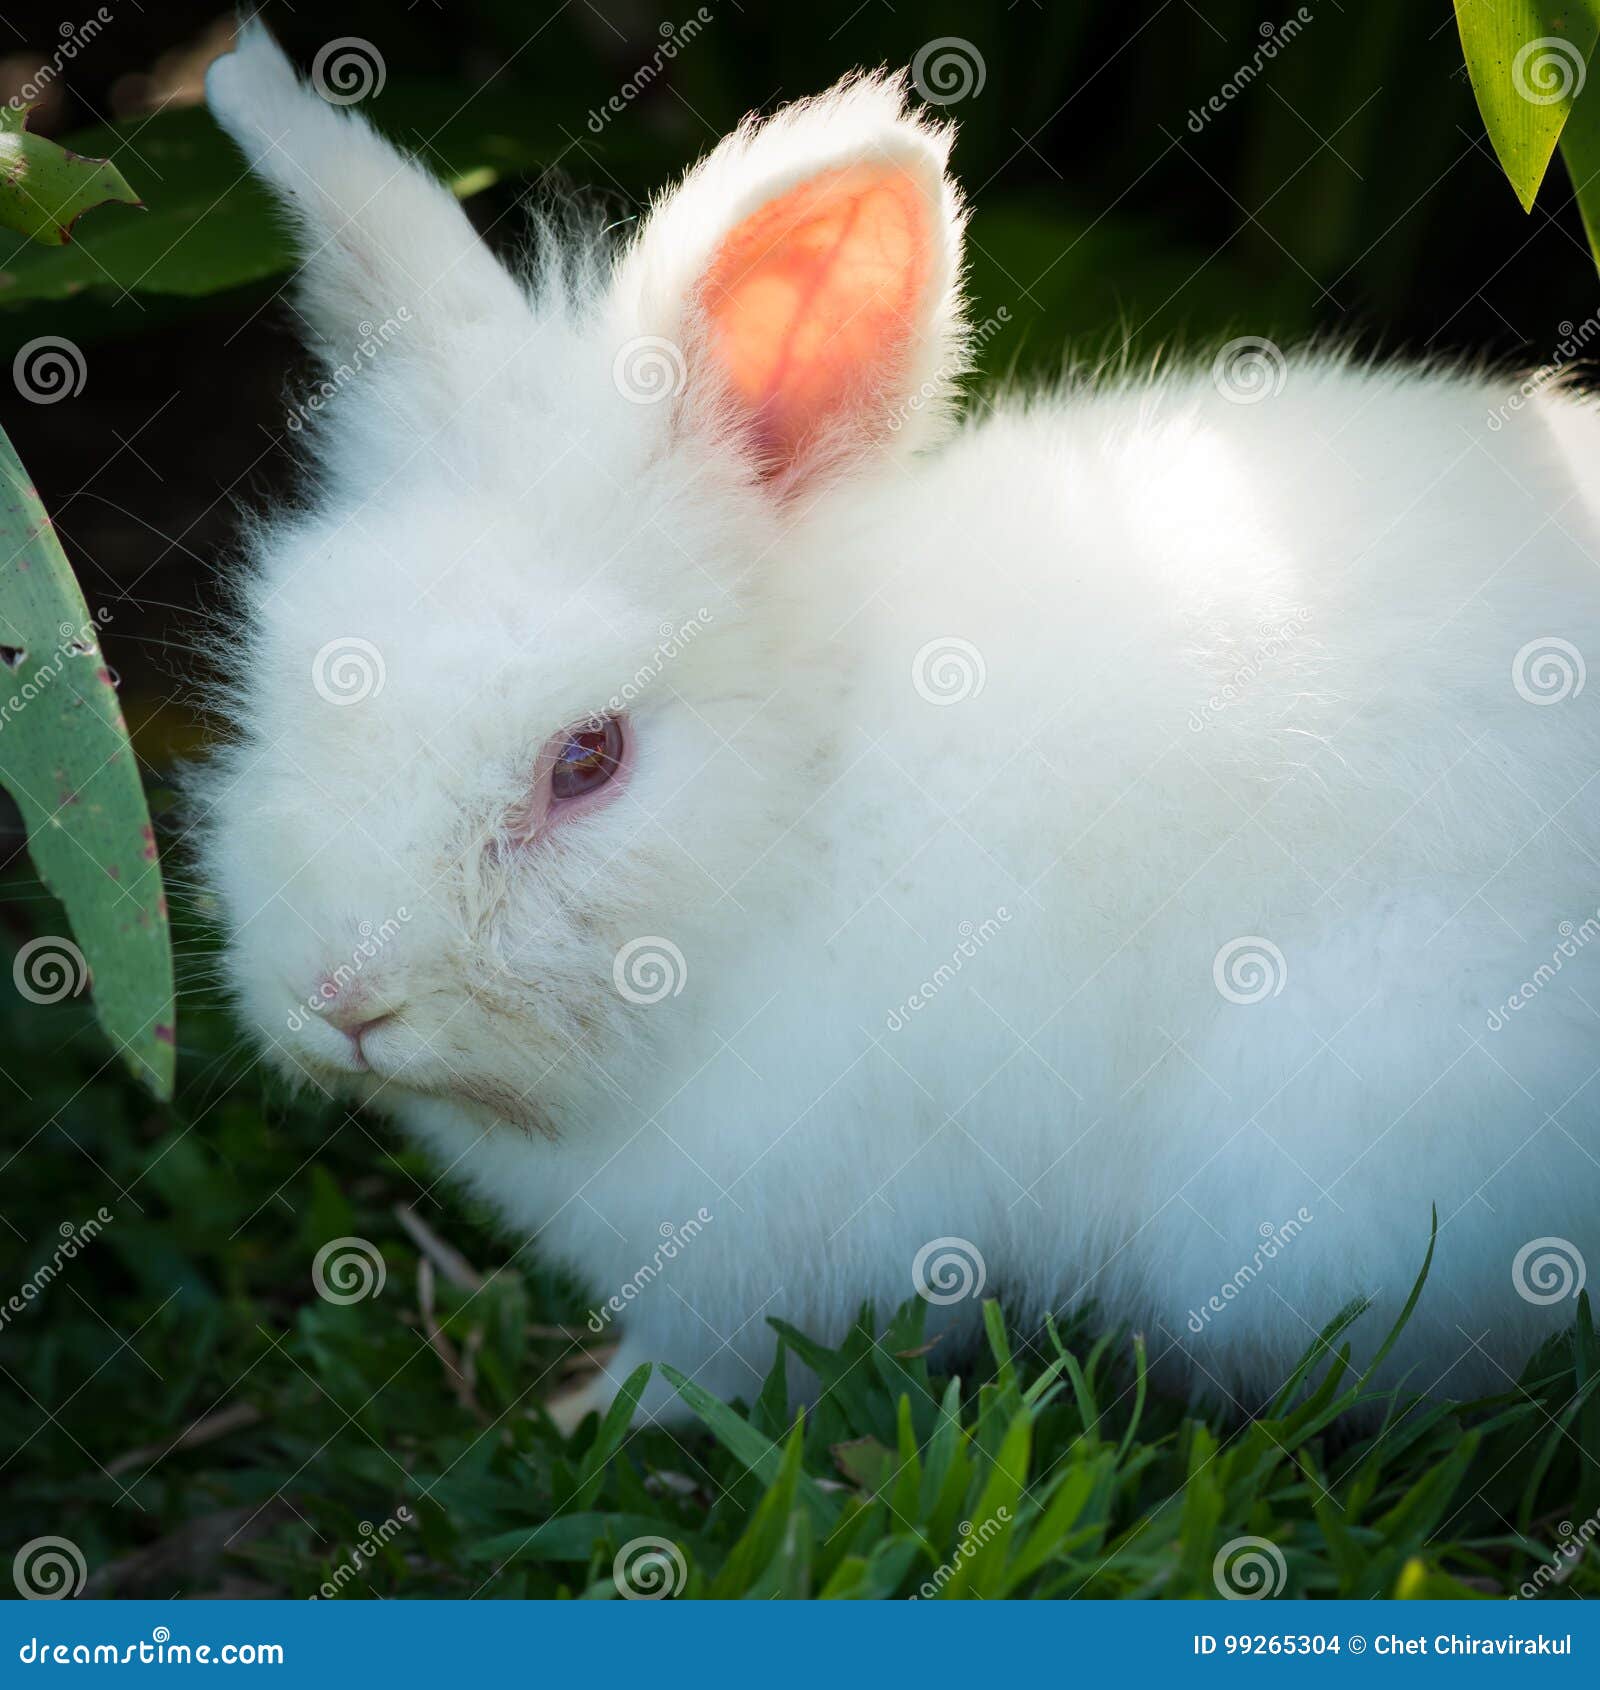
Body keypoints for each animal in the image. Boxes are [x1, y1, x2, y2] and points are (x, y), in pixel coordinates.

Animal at [196, 21, 1600, 1429]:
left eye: (588, 758)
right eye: (283, 664)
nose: (340, 998)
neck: (806, 818)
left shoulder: (784, 1250)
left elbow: (708, 1365)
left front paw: (587, 1415)